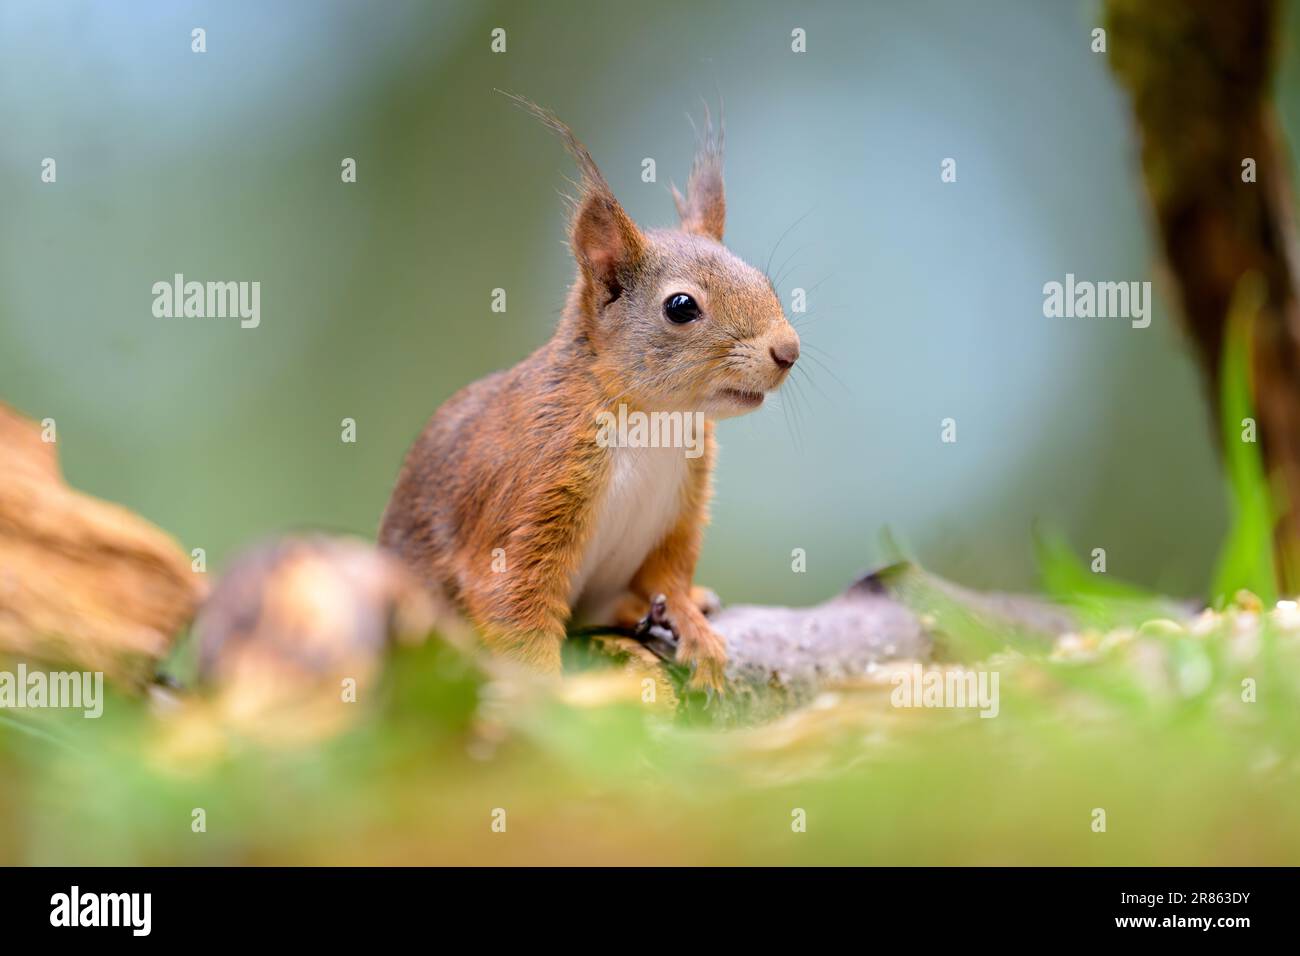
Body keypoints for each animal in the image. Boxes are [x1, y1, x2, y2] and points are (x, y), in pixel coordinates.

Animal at [378, 97, 799, 691]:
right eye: (681, 307)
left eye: (764, 281)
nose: (788, 350)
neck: (654, 423)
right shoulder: (533, 488)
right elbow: (515, 599)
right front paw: (548, 693)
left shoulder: (679, 512)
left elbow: (667, 575)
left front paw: (692, 625)